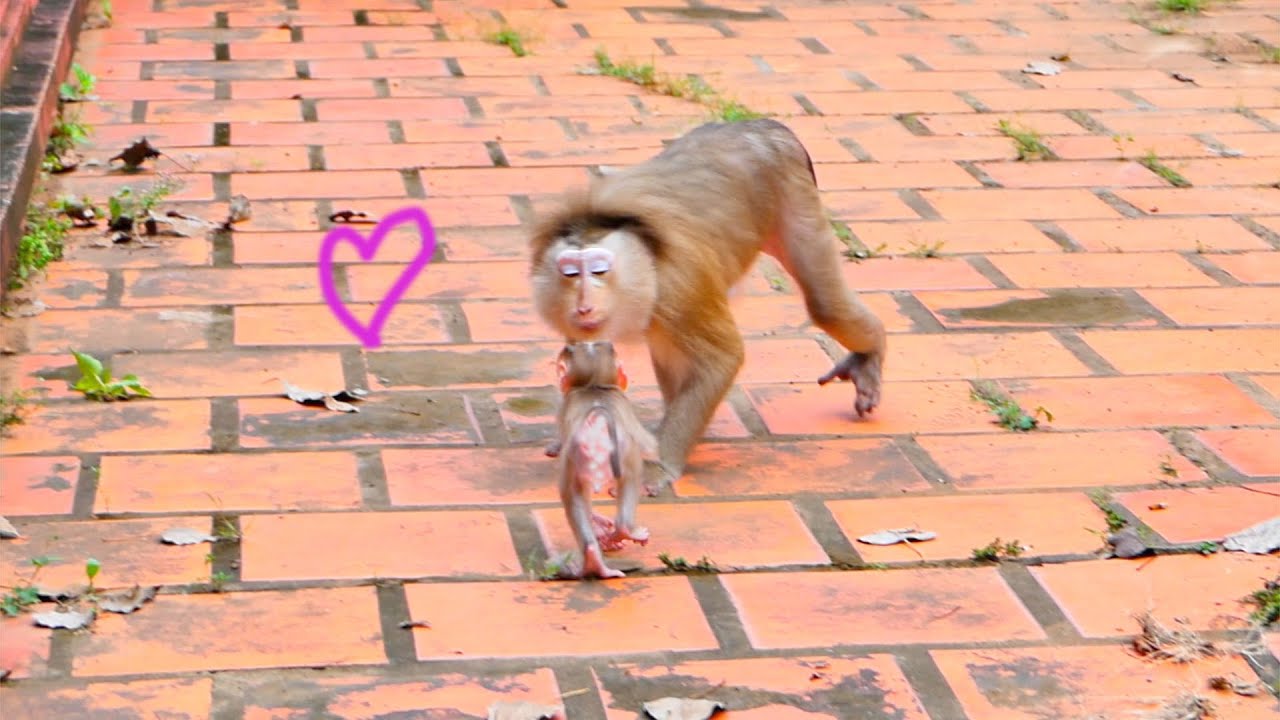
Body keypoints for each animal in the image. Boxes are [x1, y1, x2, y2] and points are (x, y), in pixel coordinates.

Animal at [529, 118, 886, 491]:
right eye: (570, 273)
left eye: (598, 270)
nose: (584, 304)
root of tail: (758, 124)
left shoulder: (681, 284)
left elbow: (723, 359)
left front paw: (662, 464)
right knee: (667, 344)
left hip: (793, 191)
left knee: (825, 305)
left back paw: (869, 353)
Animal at [553, 341, 658, 580]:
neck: (594, 386)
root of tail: (597, 417)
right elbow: (652, 445)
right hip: (623, 449)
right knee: (631, 477)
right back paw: (627, 530)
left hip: (574, 455)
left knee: (571, 493)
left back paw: (593, 559)